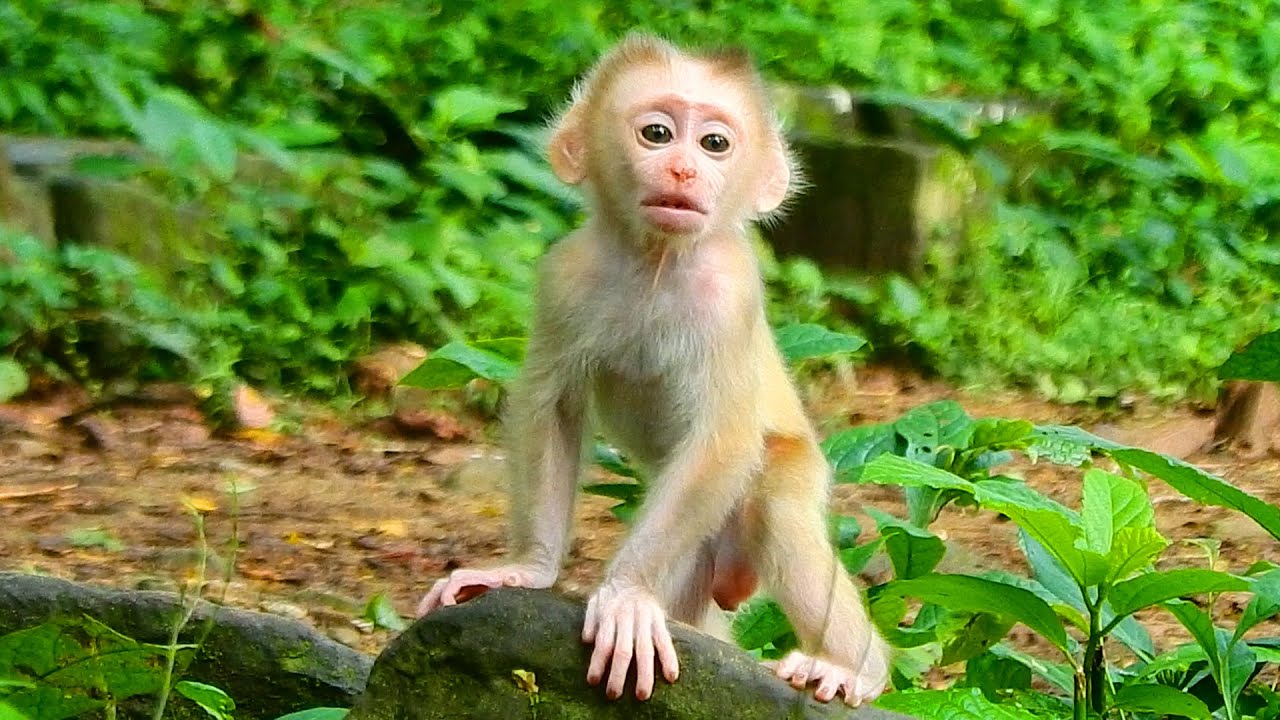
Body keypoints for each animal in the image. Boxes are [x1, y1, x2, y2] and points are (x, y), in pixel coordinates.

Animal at [417, 33, 891, 707]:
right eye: (658, 133)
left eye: (714, 143)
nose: (683, 170)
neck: (656, 264)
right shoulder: (563, 276)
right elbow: (552, 409)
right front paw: (528, 568)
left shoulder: (731, 295)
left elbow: (722, 441)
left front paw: (625, 596)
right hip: (700, 554)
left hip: (789, 474)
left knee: (780, 510)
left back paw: (853, 668)